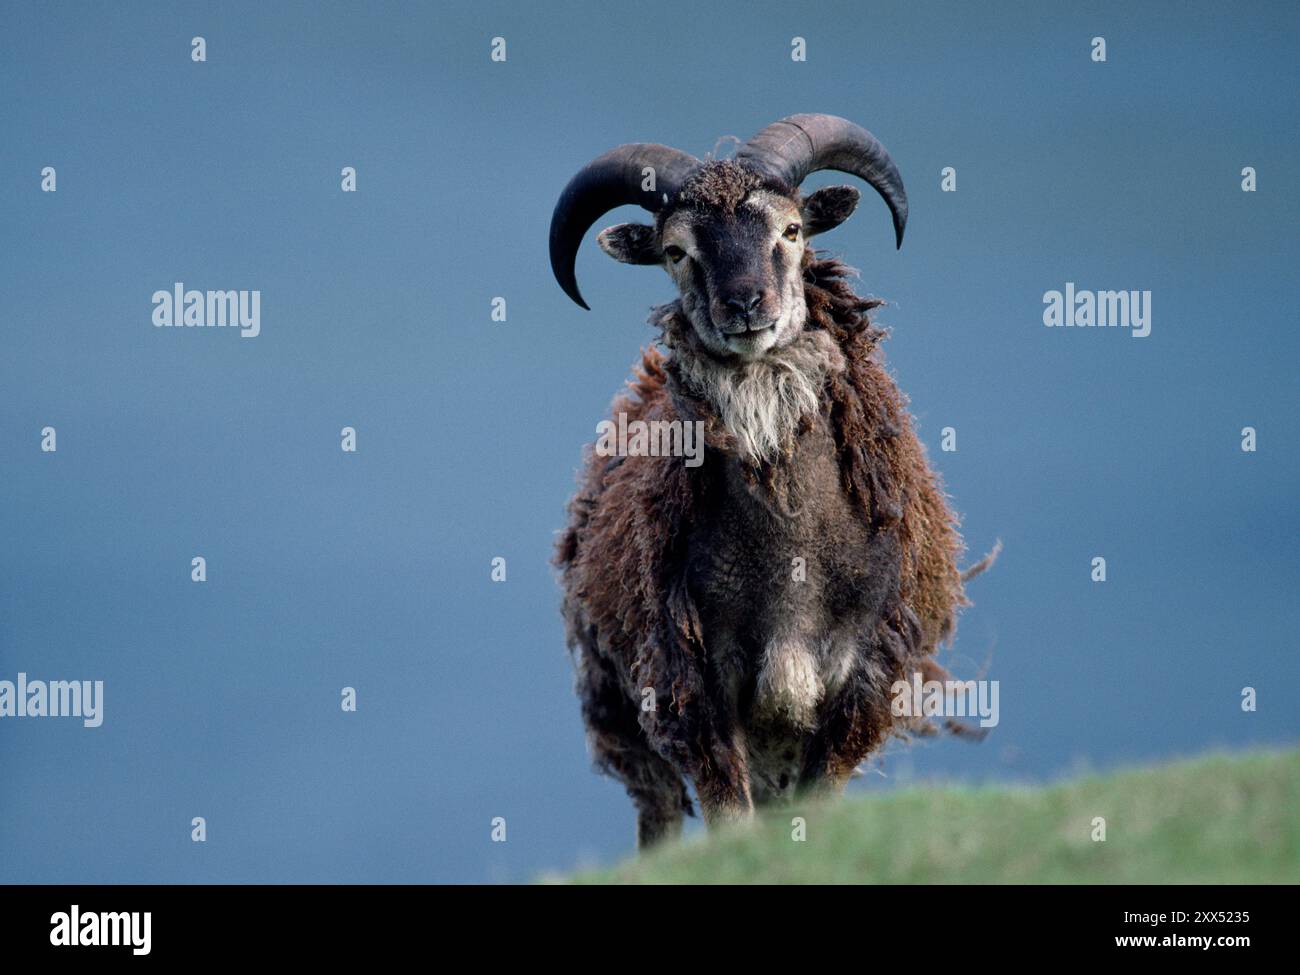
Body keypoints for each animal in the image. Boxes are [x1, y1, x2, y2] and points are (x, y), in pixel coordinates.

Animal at [550, 114, 986, 848]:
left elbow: (819, 800)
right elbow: (729, 812)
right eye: (676, 251)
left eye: (792, 230)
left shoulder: (859, 685)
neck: (791, 565)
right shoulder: (694, 686)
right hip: (618, 708)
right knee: (657, 814)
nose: (747, 305)